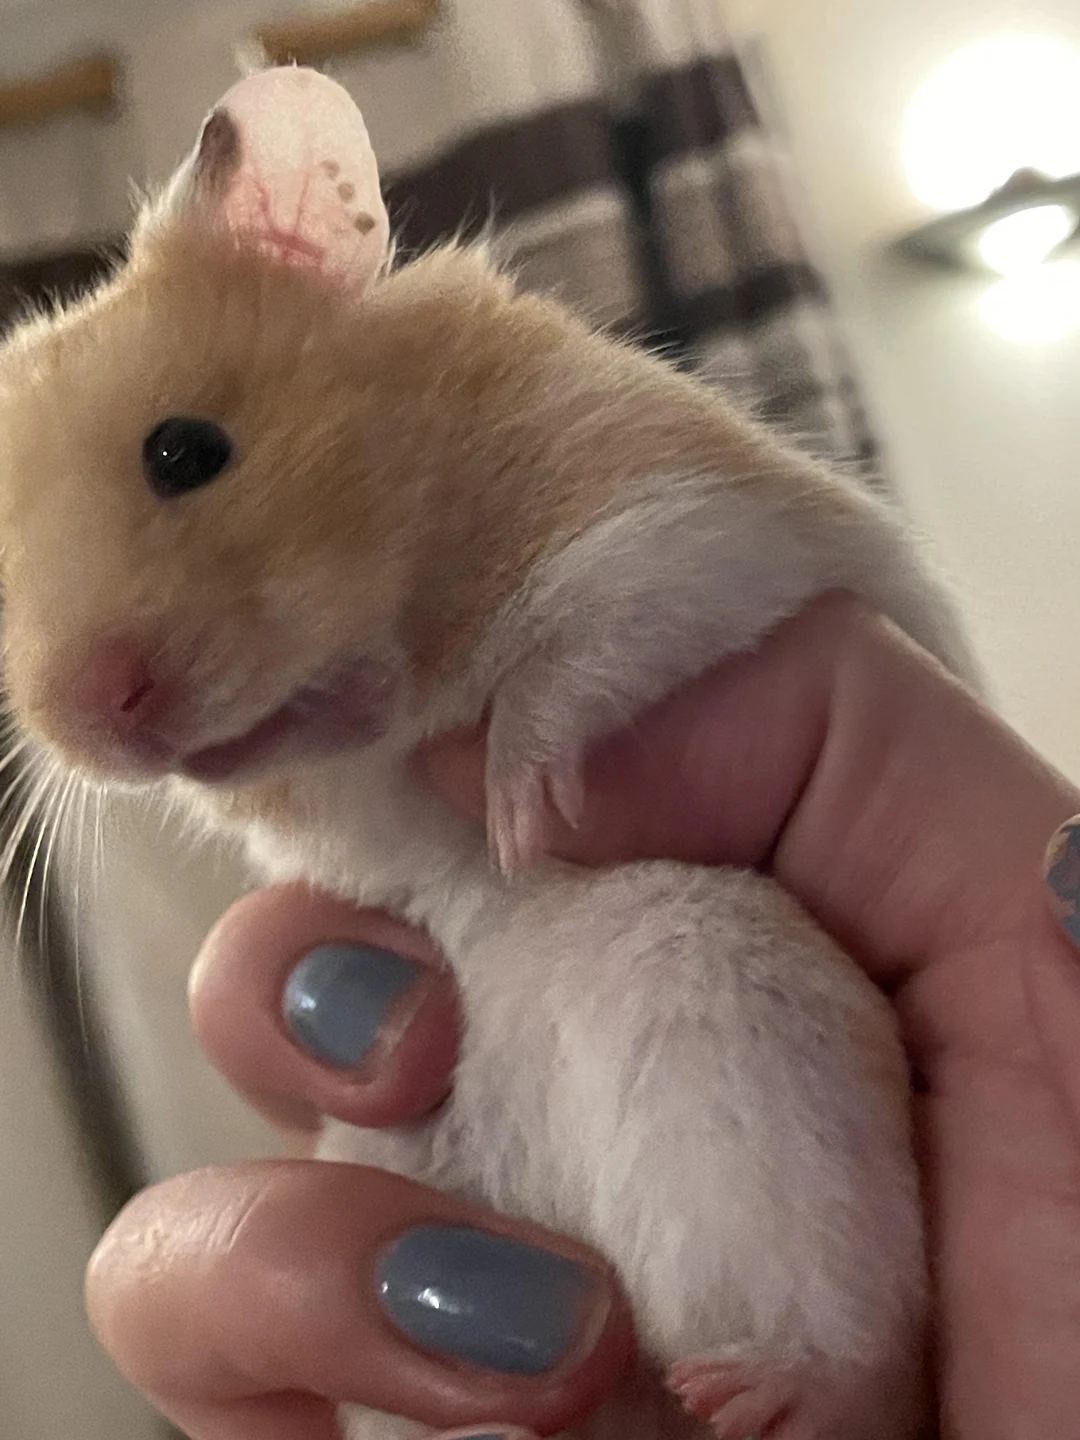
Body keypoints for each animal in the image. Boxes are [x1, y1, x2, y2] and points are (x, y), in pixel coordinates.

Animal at [0, 67, 978, 1440]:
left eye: (186, 450)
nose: (97, 715)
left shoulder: (715, 514)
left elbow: (598, 615)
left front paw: (517, 811)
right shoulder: (346, 818)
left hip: (733, 1000)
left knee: (867, 1371)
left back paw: (780, 1391)